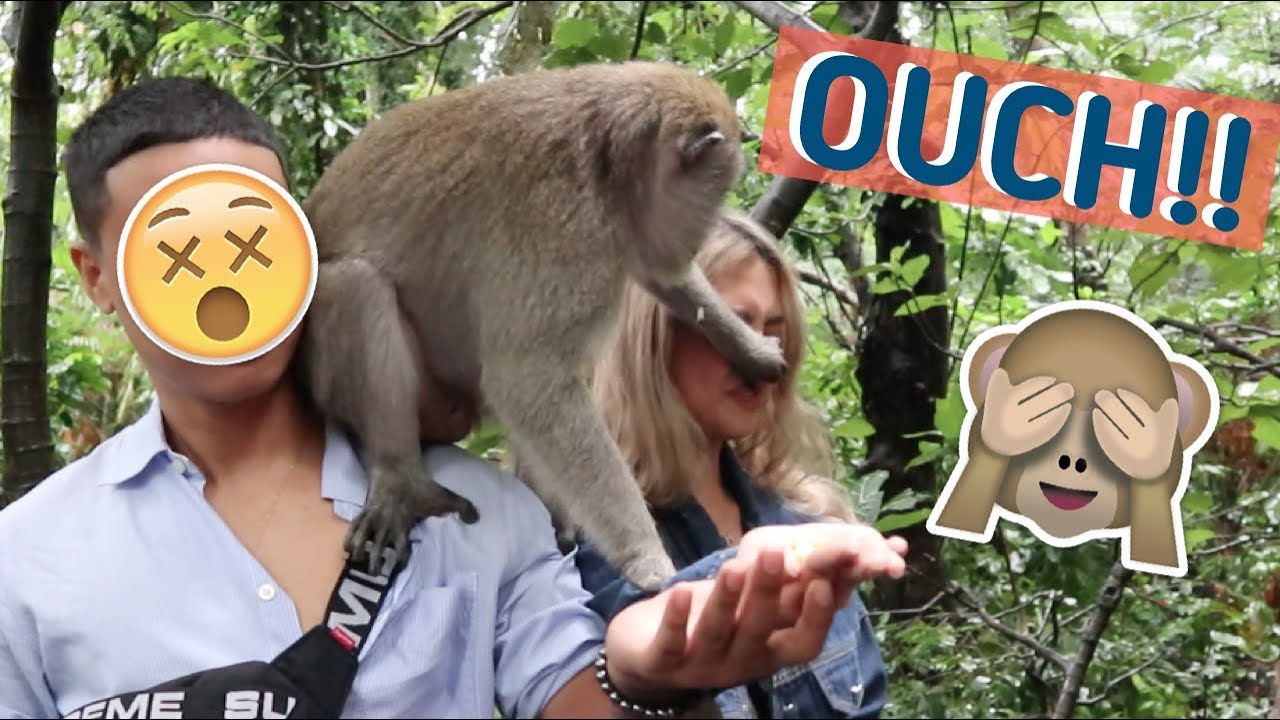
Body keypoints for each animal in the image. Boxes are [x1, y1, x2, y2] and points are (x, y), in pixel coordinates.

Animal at [297, 60, 788, 590]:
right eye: (713, 195)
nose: (696, 242)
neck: (607, 166)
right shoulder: (566, 230)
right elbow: (531, 381)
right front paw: (647, 559)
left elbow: (662, 280)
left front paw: (750, 349)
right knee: (356, 287)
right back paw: (400, 476)